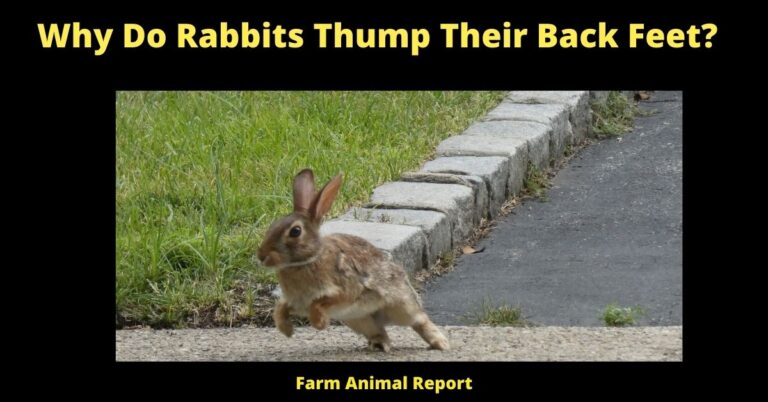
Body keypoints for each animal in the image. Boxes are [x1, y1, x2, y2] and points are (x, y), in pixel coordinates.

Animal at [257, 168, 449, 352]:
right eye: (272, 226)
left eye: (295, 232)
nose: (261, 256)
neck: (308, 260)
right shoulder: (295, 301)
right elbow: (280, 308)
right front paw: (286, 331)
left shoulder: (346, 290)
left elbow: (319, 303)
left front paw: (319, 324)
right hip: (359, 320)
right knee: (381, 332)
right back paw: (379, 346)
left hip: (401, 306)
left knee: (419, 320)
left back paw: (440, 343)